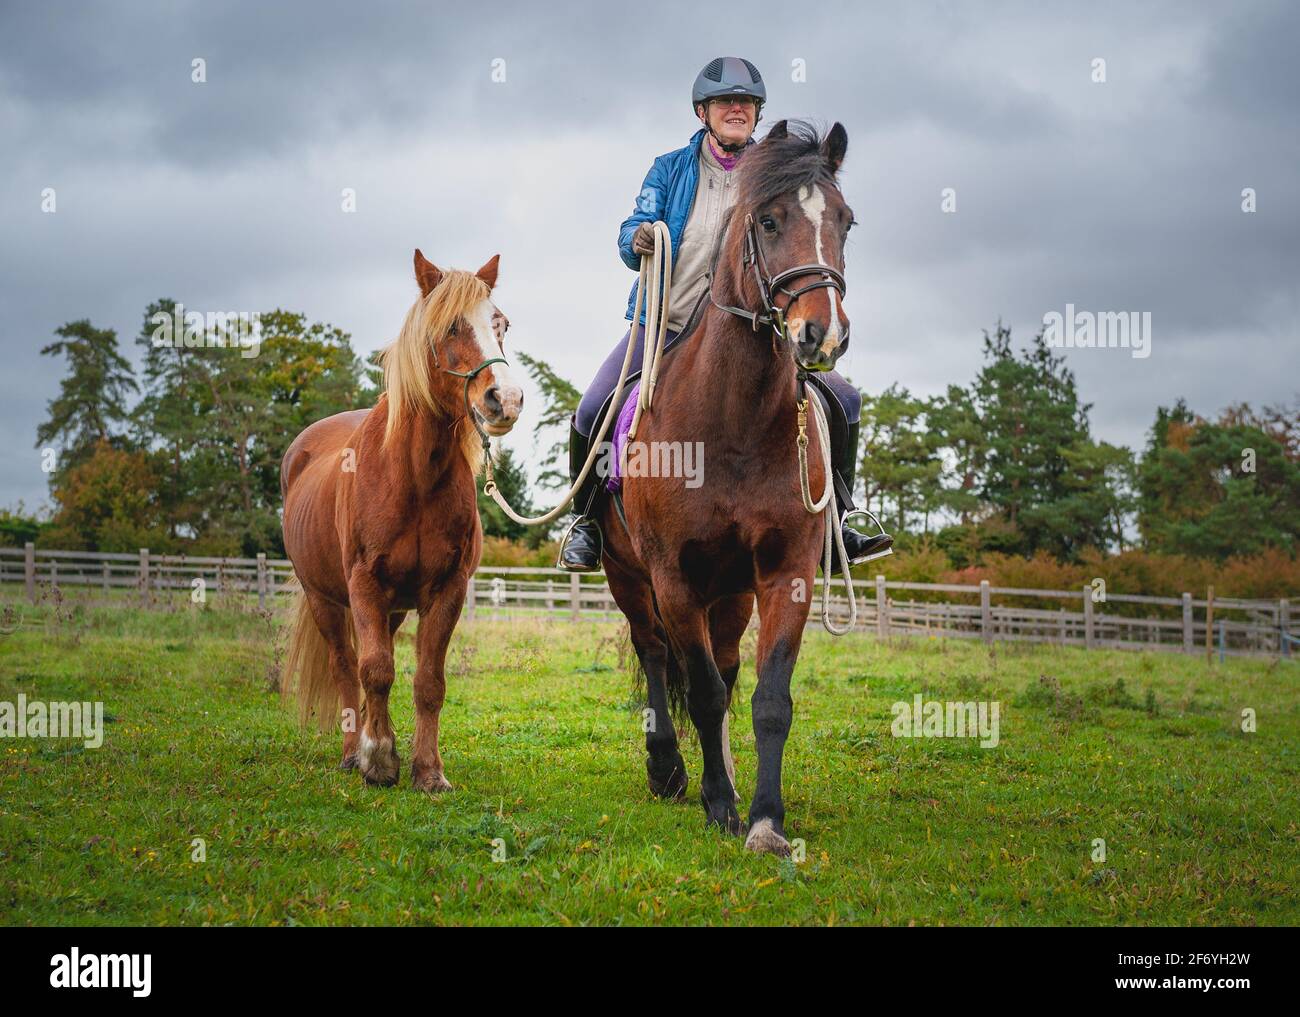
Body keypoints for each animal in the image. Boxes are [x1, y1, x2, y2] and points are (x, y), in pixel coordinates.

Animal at [279, 249, 523, 791]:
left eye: (501, 324)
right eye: (451, 327)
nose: (506, 400)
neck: (413, 475)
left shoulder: (448, 589)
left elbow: (427, 682)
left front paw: (428, 771)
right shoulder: (364, 584)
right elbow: (373, 671)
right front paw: (377, 759)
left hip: (388, 609)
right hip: (326, 599)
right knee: (347, 668)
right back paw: (352, 752)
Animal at [599, 120, 854, 855]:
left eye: (845, 221)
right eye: (768, 221)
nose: (822, 333)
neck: (732, 422)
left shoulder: (786, 572)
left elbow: (767, 697)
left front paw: (765, 817)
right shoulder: (673, 576)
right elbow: (706, 693)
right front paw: (717, 805)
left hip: (732, 591)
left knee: (726, 661)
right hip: (629, 577)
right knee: (658, 656)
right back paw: (667, 769)